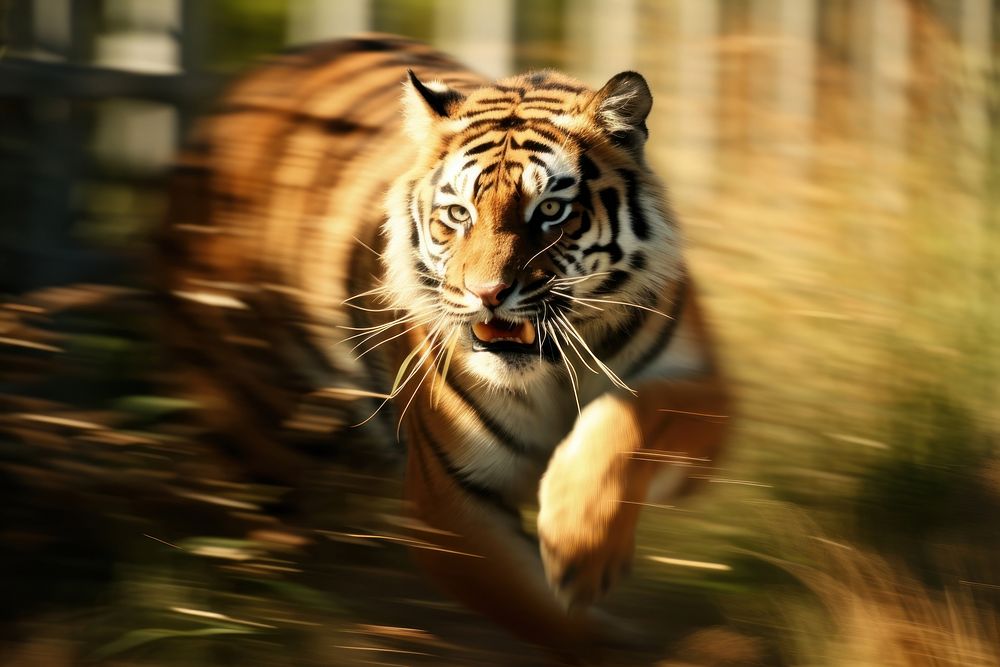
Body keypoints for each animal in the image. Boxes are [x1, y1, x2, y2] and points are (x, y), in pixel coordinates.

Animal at [161, 34, 730, 658]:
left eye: (551, 211)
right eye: (459, 214)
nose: (488, 294)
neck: (548, 373)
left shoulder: (705, 393)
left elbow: (629, 419)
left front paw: (580, 545)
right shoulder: (449, 503)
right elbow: (552, 621)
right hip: (248, 403)